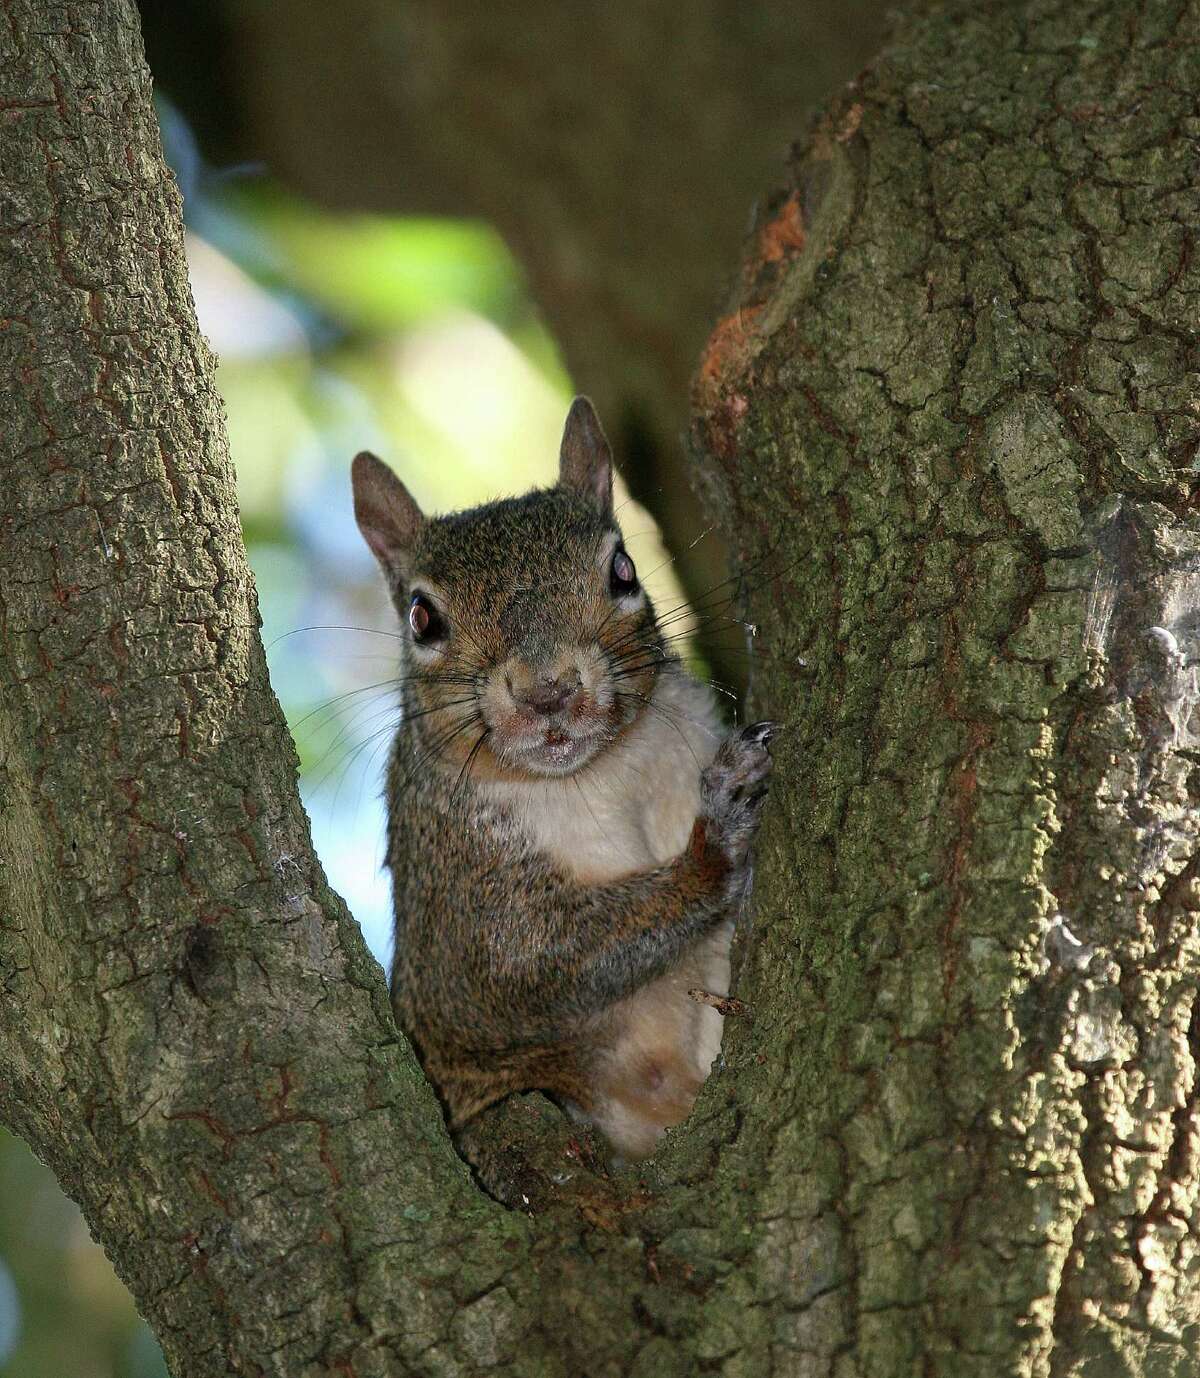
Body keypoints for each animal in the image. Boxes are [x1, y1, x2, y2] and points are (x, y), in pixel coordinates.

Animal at [351, 397, 776, 1159]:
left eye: (624, 571)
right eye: (421, 618)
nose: (547, 692)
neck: (604, 771)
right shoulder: (456, 892)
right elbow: (523, 966)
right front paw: (714, 848)